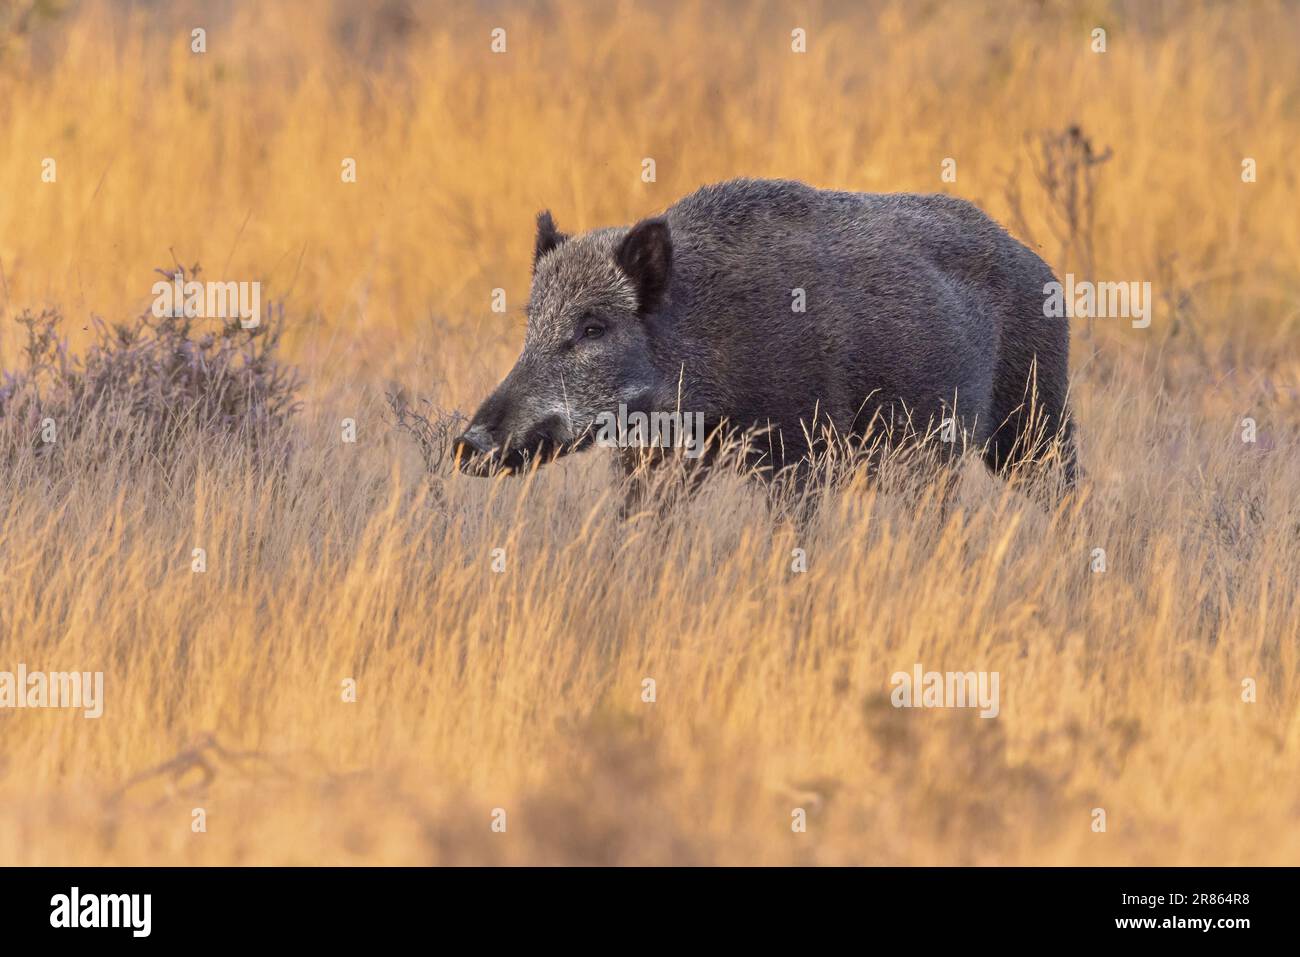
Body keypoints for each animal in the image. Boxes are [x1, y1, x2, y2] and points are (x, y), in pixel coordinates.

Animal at [455, 178, 1077, 498]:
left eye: (592, 328)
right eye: (531, 322)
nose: (467, 445)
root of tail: (1041, 267)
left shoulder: (800, 449)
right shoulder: (655, 459)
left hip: (1036, 416)